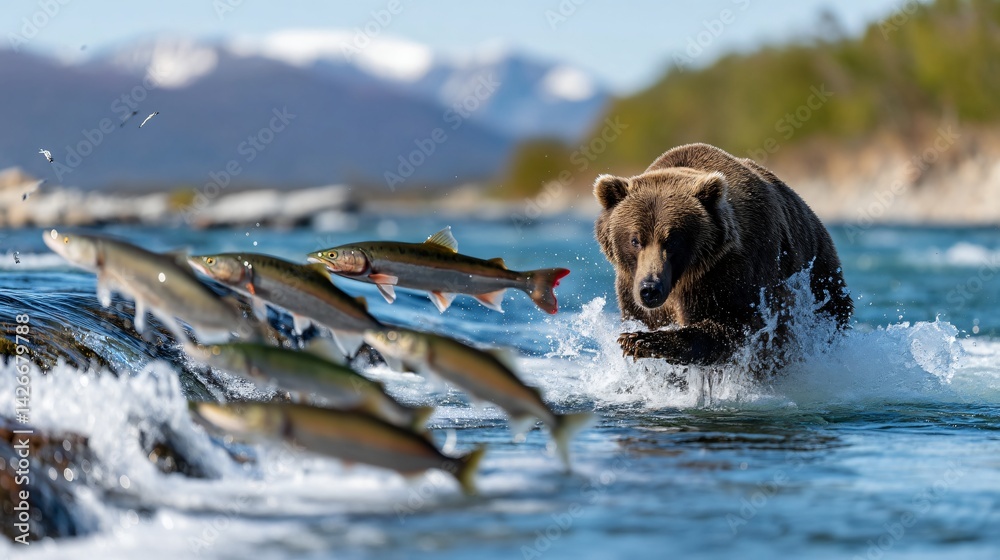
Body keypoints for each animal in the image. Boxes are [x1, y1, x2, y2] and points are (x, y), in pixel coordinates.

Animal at [593, 143, 852, 367]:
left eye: (673, 240)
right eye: (635, 240)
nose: (650, 289)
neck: (684, 279)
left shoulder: (732, 271)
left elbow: (732, 328)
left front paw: (641, 340)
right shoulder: (630, 286)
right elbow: (645, 316)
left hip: (820, 281)